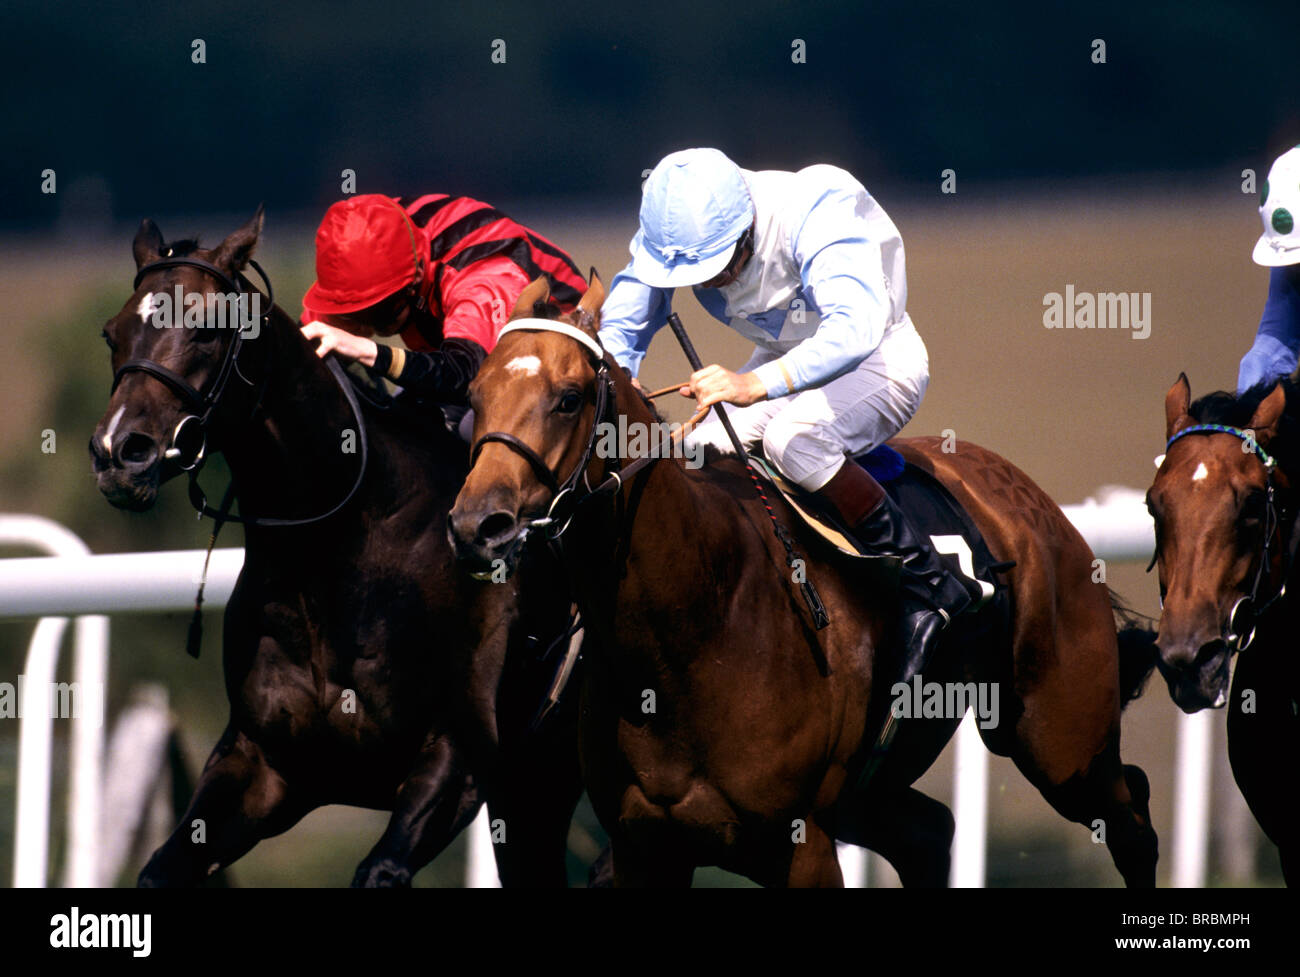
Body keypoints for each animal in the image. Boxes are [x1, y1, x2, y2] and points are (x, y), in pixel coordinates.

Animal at [89, 209, 585, 886]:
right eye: (112, 334)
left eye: (207, 330)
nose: (120, 453)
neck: (336, 561)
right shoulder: (264, 764)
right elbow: (162, 869)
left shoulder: (457, 759)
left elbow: (379, 867)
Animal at [448, 273, 1161, 887]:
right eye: (475, 398)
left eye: (567, 399)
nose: (478, 525)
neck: (689, 633)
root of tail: (1036, 506)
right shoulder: (644, 847)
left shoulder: (803, 846)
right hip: (879, 789)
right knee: (930, 831)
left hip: (1060, 741)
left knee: (1132, 820)